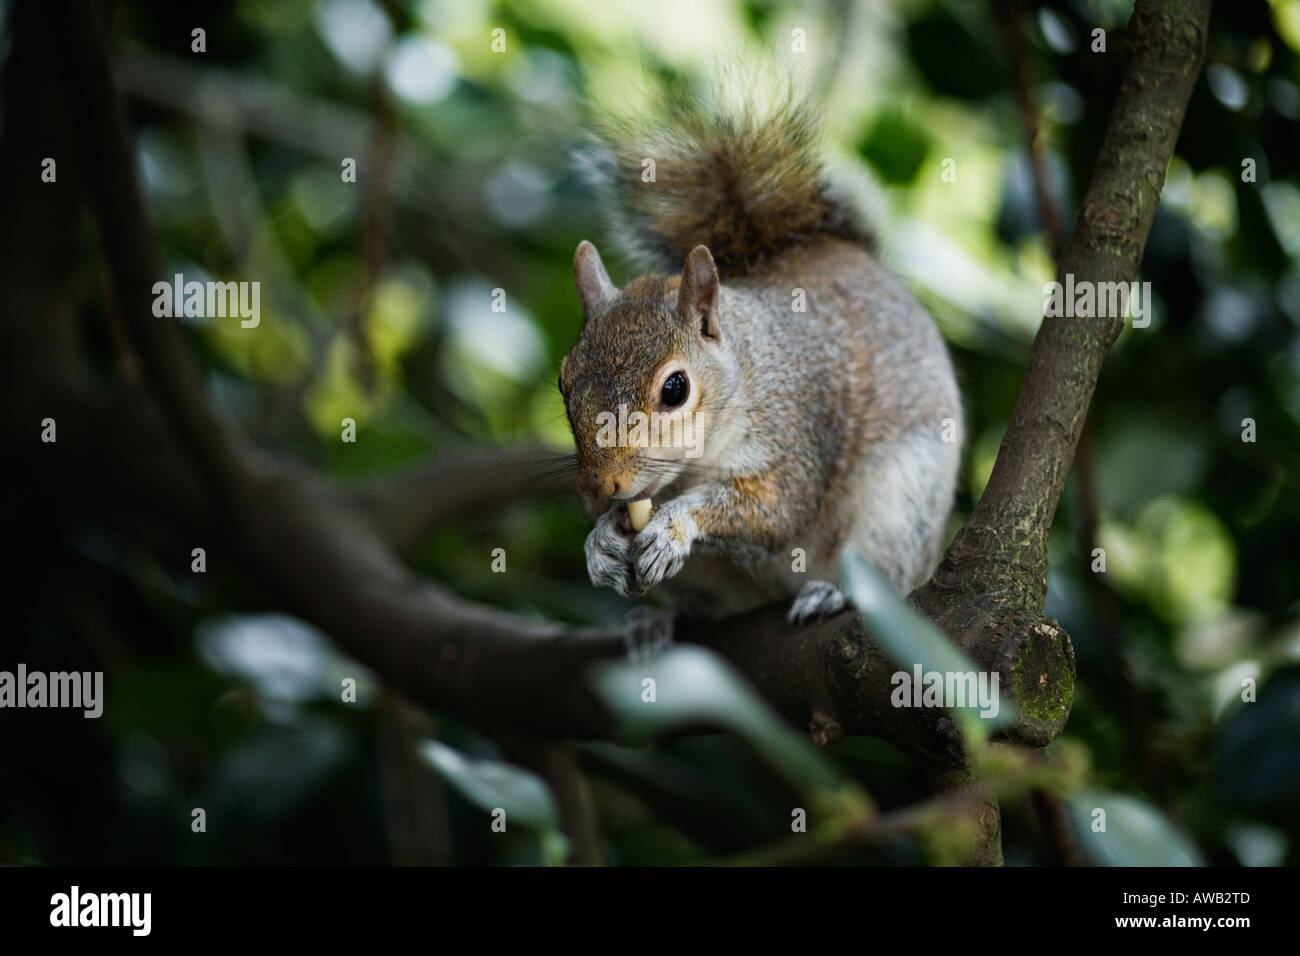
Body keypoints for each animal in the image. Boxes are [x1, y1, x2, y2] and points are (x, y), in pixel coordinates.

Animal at [557, 89, 964, 625]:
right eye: (563, 381)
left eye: (675, 389)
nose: (601, 485)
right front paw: (599, 542)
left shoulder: (794, 434)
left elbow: (774, 509)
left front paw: (672, 525)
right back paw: (658, 622)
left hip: (900, 504)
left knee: (887, 569)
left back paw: (837, 594)